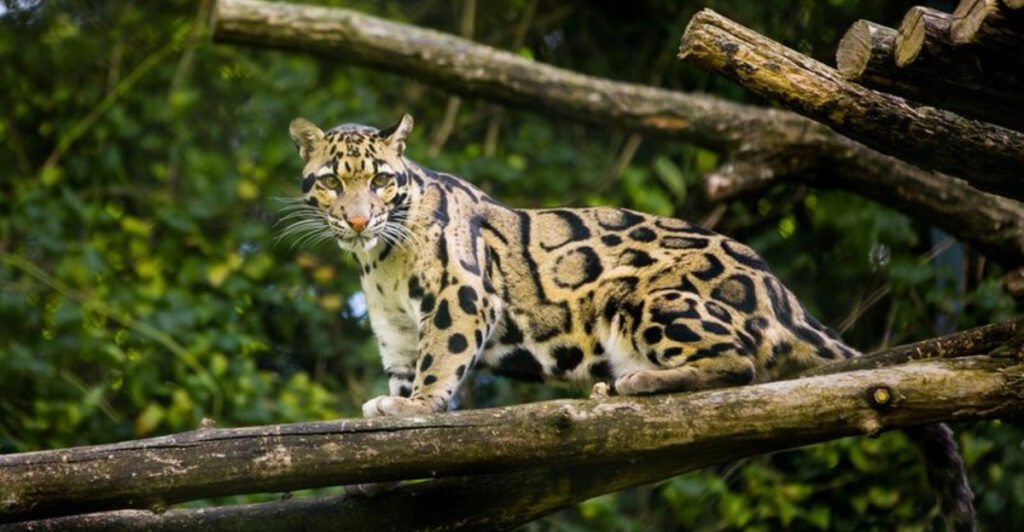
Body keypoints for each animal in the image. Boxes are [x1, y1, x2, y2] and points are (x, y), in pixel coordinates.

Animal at [284, 114, 975, 532]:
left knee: (743, 364)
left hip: (646, 299)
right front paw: (383, 459)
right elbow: (404, 390)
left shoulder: (463, 296)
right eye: (332, 183)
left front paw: (416, 409)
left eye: (380, 180)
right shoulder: (397, 332)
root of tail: (786, 298)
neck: (379, 259)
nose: (357, 219)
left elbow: (439, 368)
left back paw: (635, 382)